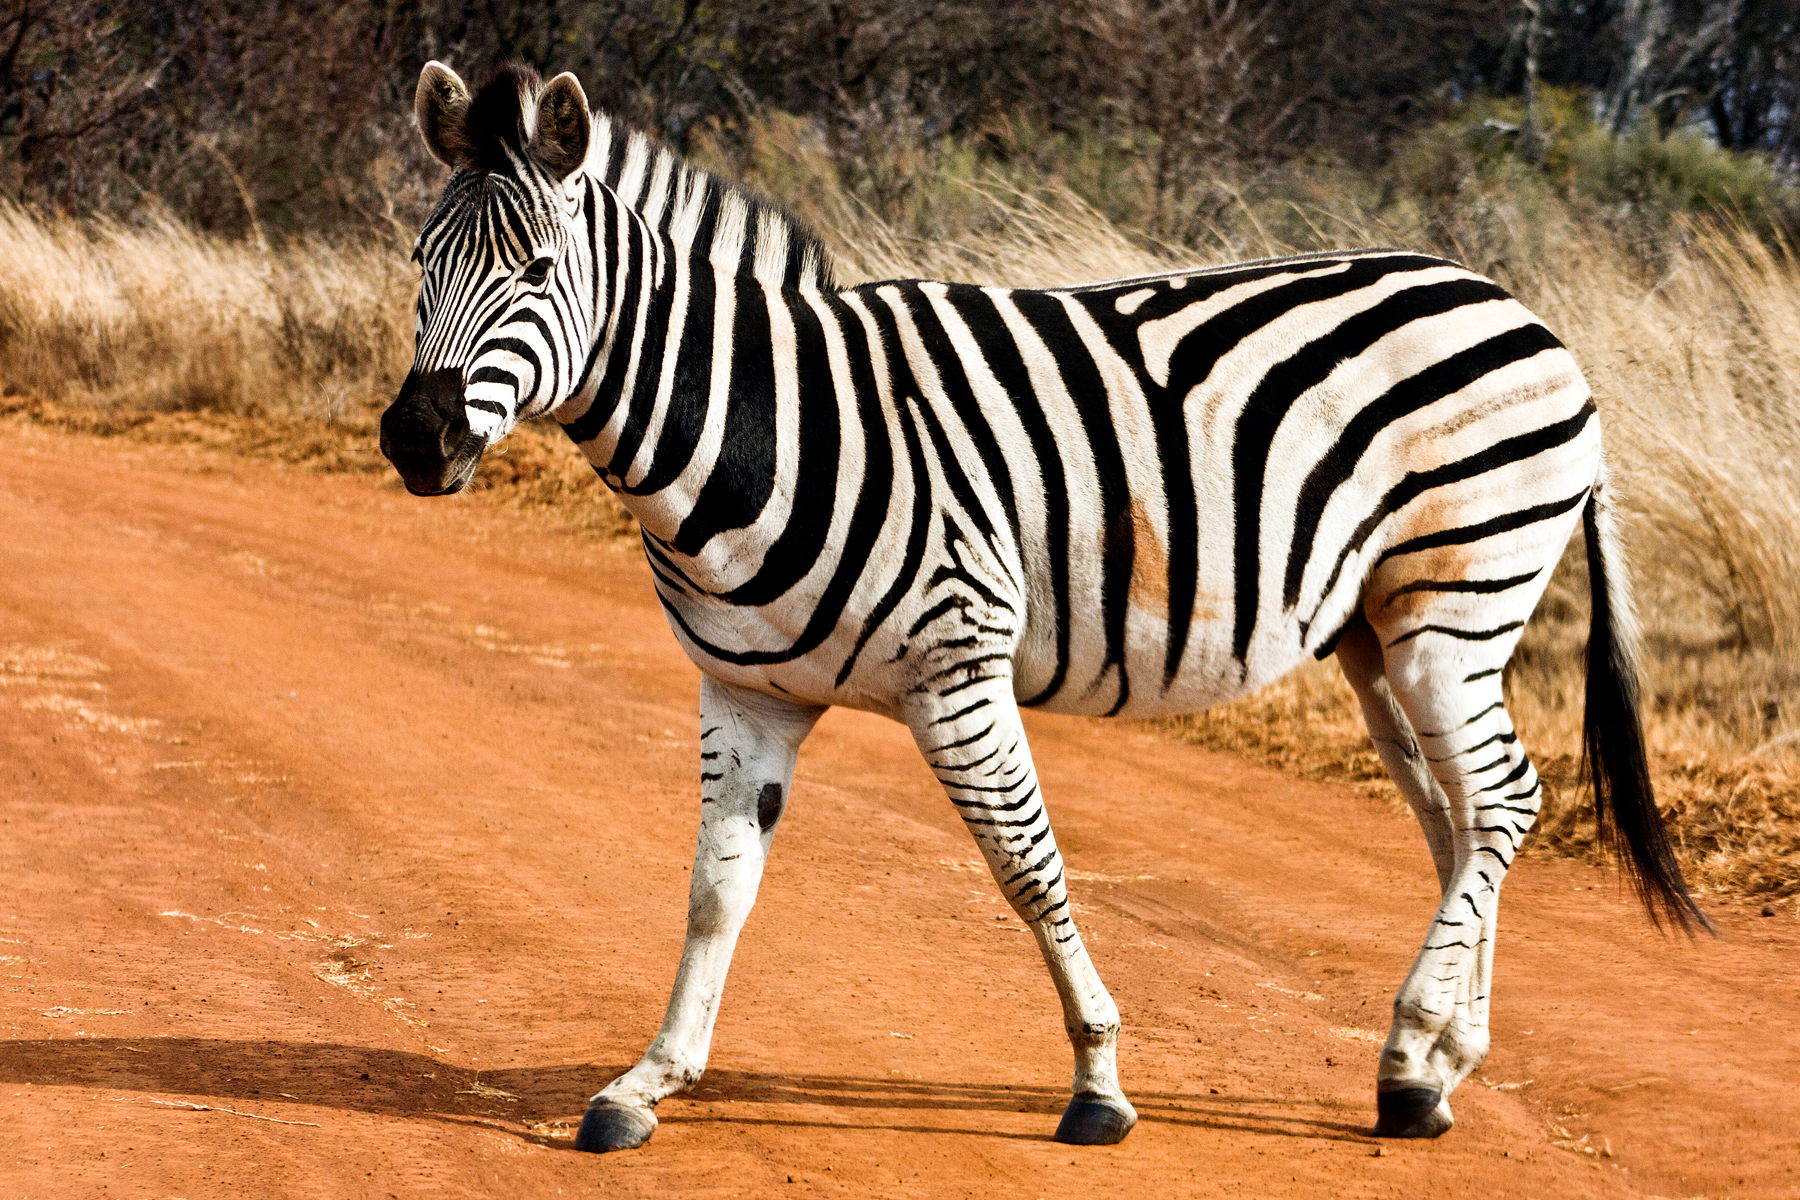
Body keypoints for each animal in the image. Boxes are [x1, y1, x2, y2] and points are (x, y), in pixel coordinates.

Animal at [380, 62, 1705, 1153]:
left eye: (537, 272)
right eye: (418, 265)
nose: (413, 440)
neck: (763, 425)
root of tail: (1522, 312)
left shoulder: (957, 666)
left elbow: (1026, 869)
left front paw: (1099, 1084)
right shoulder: (746, 690)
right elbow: (715, 889)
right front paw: (645, 1082)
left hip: (1457, 597)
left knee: (1506, 800)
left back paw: (1420, 1042)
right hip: (1379, 630)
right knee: (1461, 818)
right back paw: (1431, 1068)